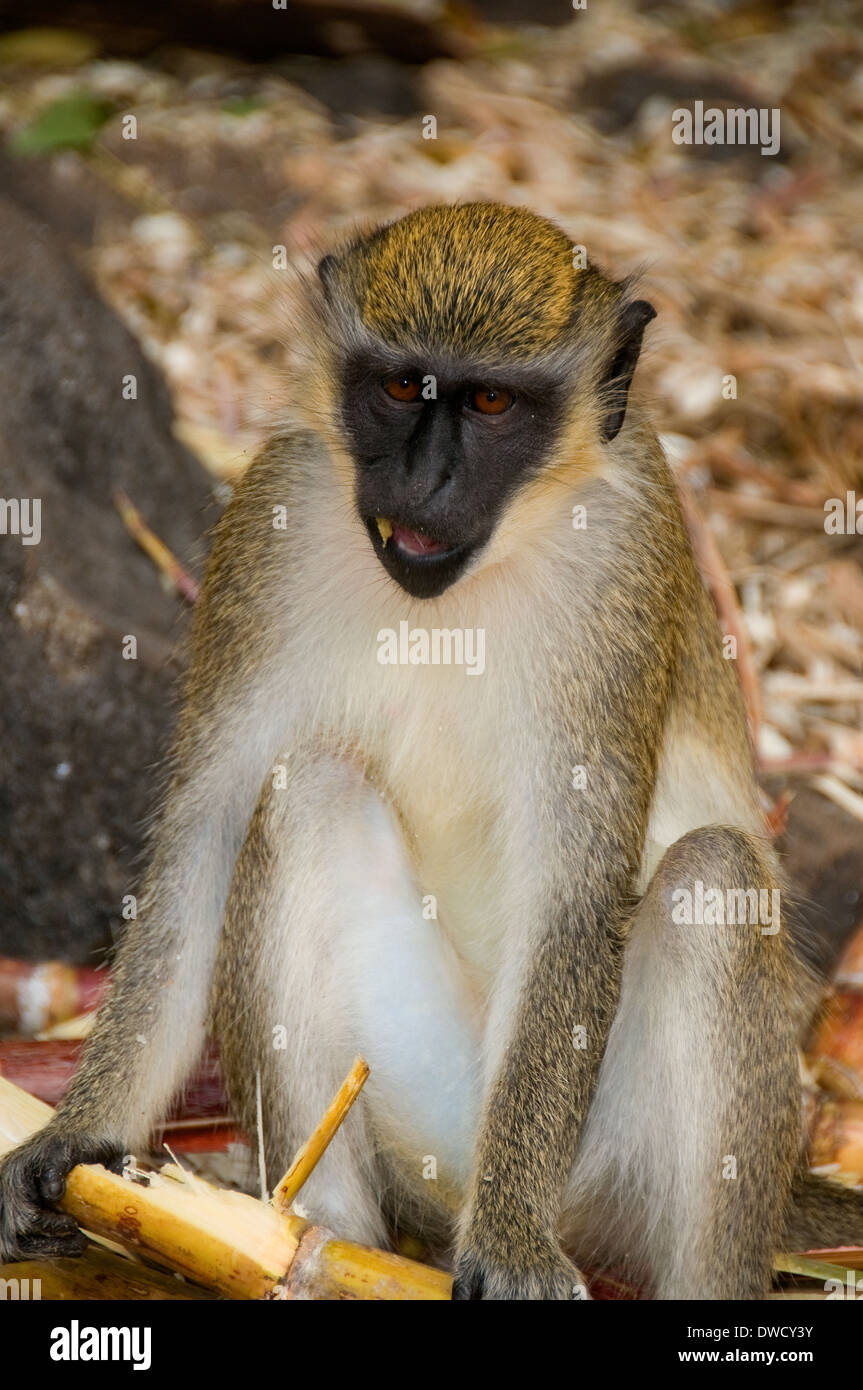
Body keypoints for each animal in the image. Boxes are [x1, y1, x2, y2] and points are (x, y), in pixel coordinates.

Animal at [2, 201, 862, 1299]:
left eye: (491, 401)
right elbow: (205, 838)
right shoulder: (268, 528)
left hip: (596, 1174)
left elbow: (574, 894)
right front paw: (78, 1131)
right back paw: (302, 1242)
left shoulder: (622, 561)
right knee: (308, 791)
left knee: (712, 875)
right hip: (422, 1117)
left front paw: (511, 1243)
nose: (423, 476)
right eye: (398, 387)